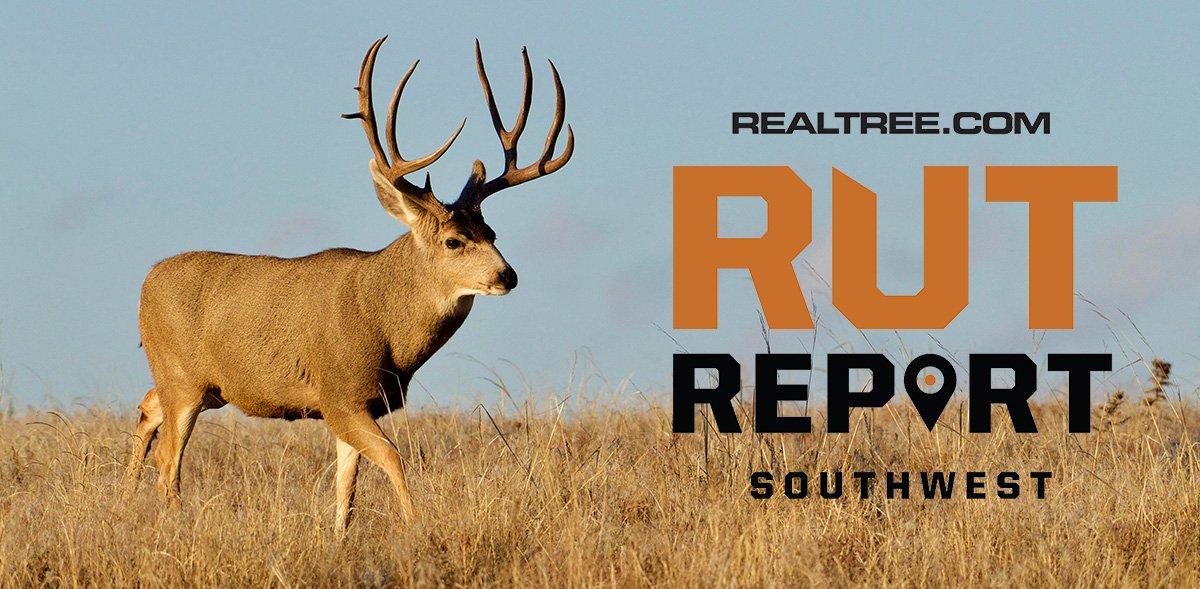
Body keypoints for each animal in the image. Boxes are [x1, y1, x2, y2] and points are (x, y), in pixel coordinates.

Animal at [121, 36, 573, 534]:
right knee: (168, 458)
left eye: (492, 233)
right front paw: (416, 525)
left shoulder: (363, 404)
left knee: (147, 411)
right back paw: (170, 519)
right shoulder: (340, 395)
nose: (506, 275)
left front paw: (340, 537)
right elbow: (394, 459)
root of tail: (145, 283)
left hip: (204, 387)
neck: (386, 328)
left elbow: (346, 489)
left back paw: (120, 502)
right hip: (181, 376)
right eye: (454, 241)